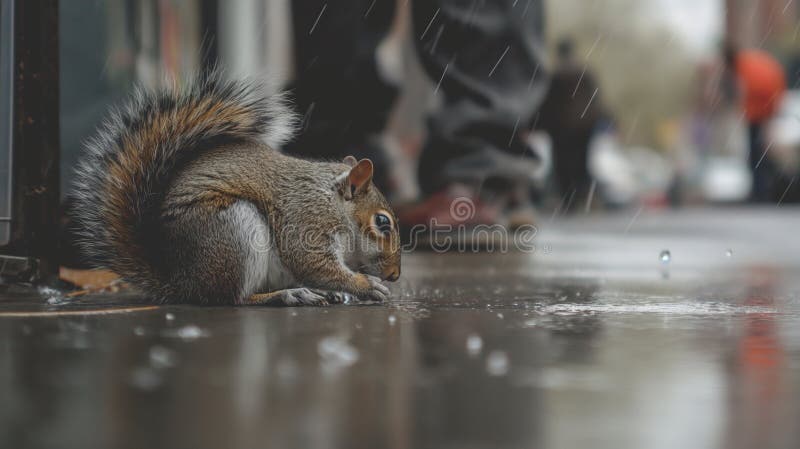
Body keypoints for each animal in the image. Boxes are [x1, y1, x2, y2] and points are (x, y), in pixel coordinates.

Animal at [70, 73, 401, 306]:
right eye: (382, 222)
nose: (395, 275)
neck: (332, 199)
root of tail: (181, 281)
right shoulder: (308, 219)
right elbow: (312, 263)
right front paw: (366, 285)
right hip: (234, 230)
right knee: (232, 297)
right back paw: (287, 295)